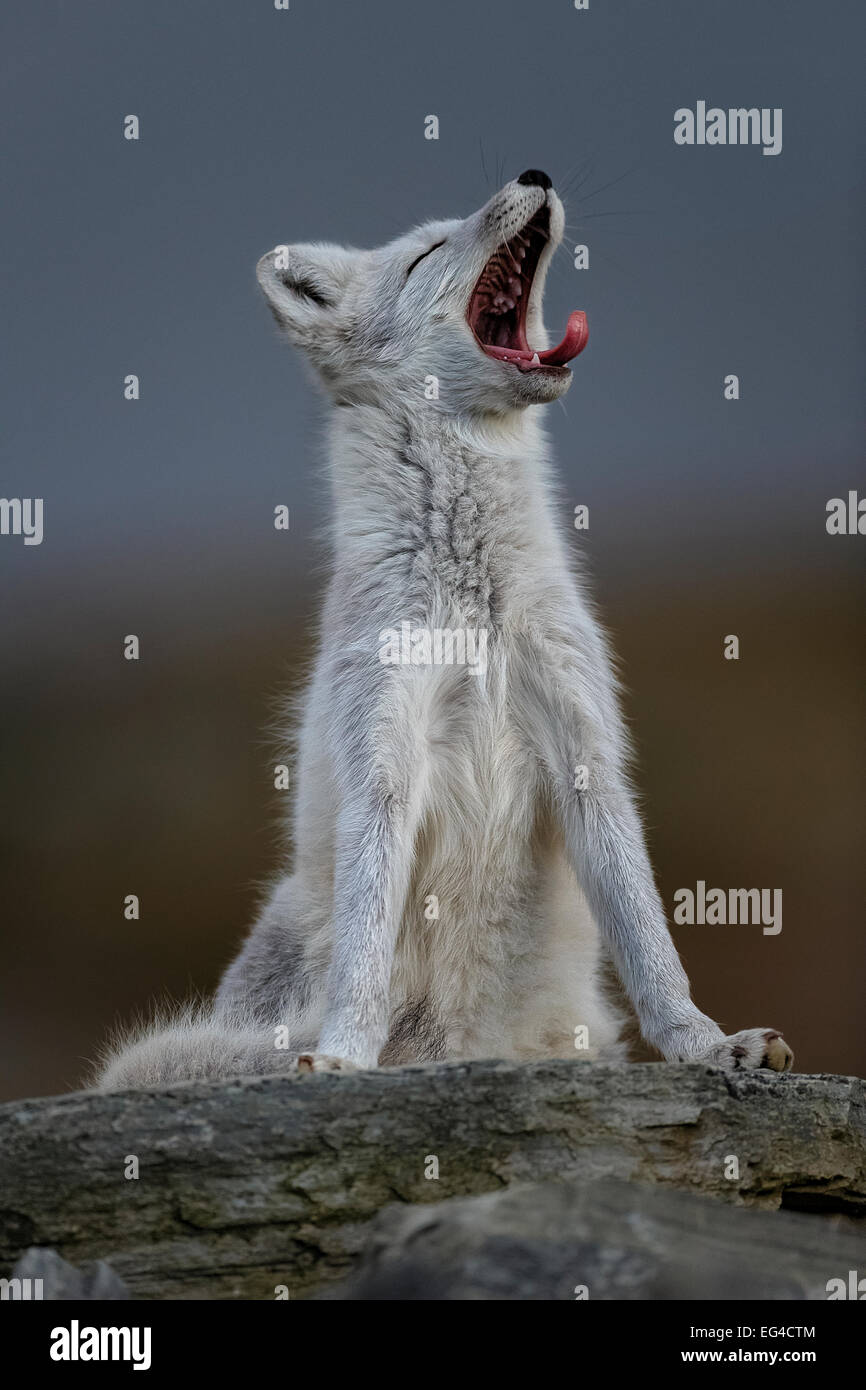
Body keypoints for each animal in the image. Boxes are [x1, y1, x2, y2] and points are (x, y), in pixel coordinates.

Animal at [98, 170, 793, 1089]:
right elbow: (364, 951)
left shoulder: (587, 753)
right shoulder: (382, 757)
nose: (535, 174)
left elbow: (652, 946)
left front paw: (709, 1045)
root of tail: (460, 1044)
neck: (475, 603)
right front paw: (343, 1056)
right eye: (426, 254)